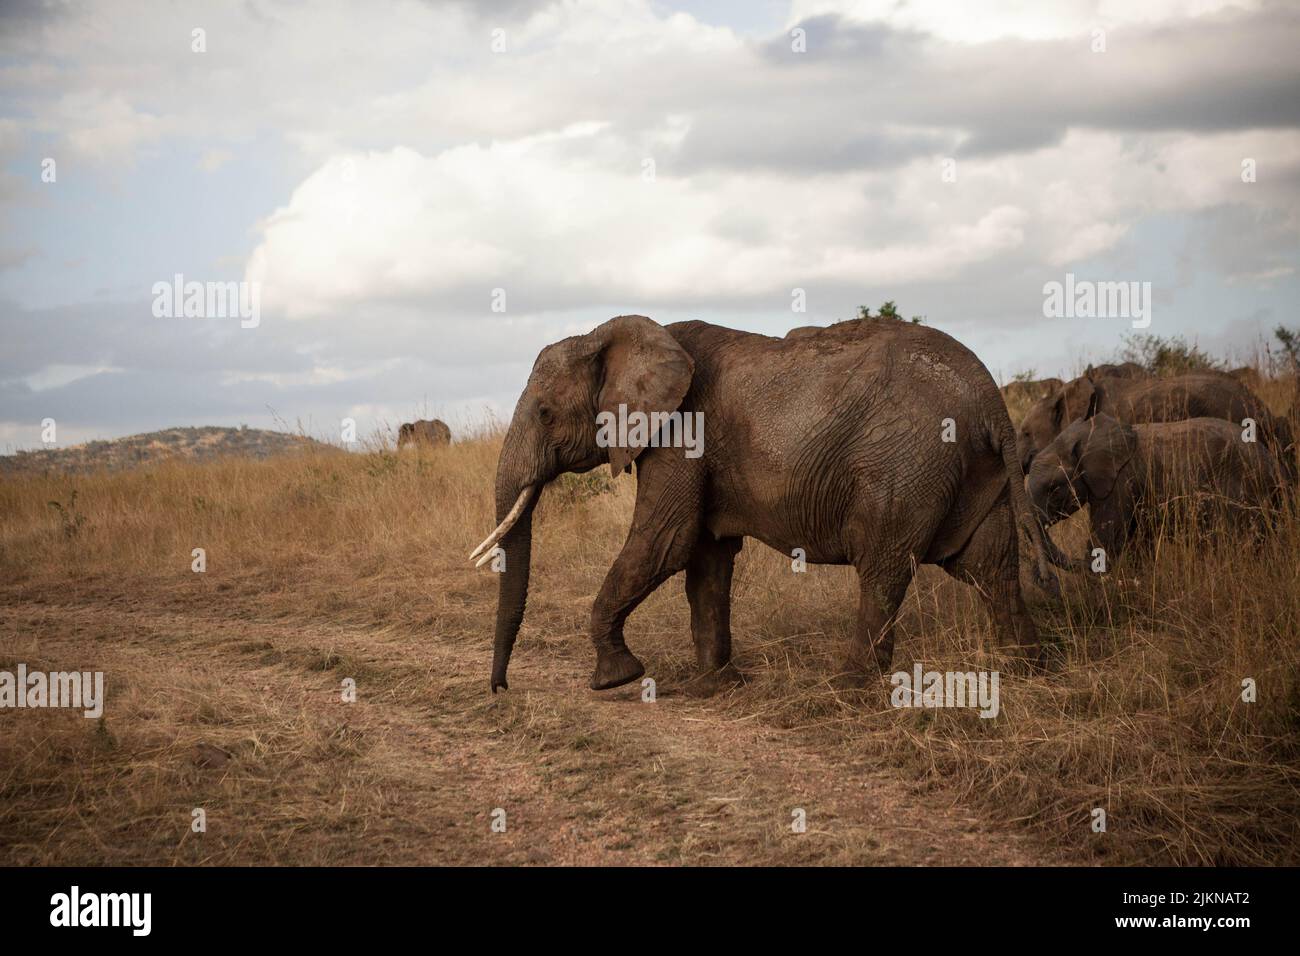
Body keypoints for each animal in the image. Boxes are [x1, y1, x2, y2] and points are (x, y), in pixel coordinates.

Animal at [470, 314, 1073, 695]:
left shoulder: (682, 437)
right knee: (989, 566)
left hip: (908, 463)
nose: (501, 690)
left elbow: (665, 543)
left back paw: (849, 689)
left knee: (884, 568)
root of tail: (989, 393)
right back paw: (1027, 669)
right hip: (975, 472)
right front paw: (715, 687)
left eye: (544, 413)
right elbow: (706, 559)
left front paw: (615, 679)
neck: (615, 335)